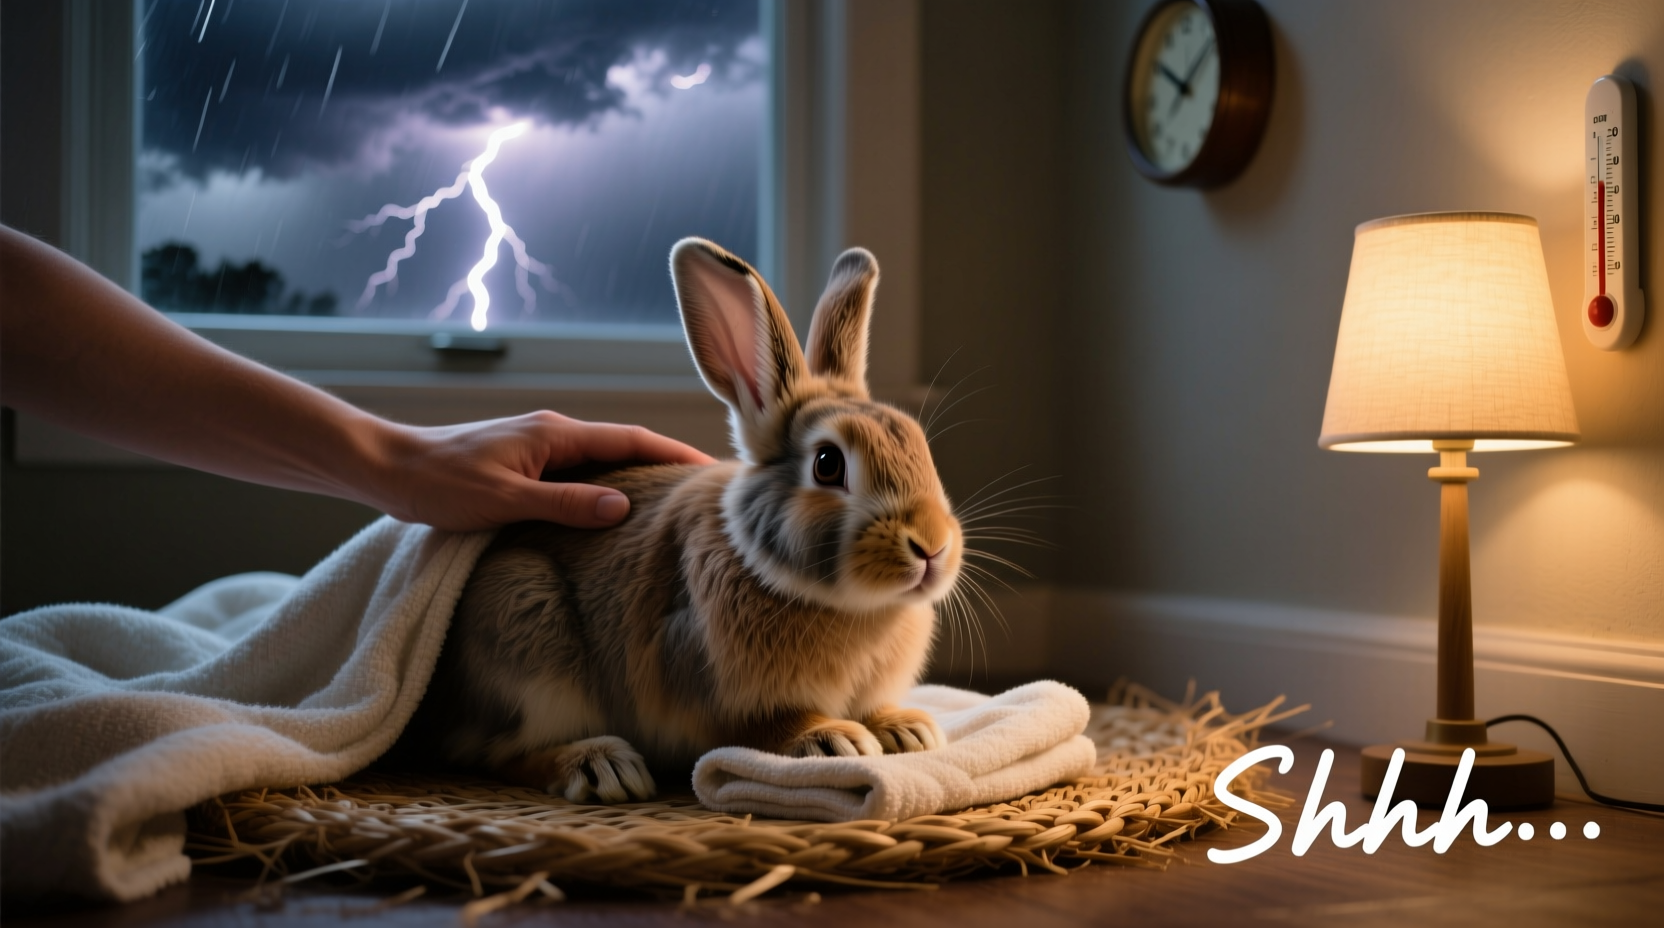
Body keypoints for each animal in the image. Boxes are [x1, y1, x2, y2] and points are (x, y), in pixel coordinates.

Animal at [397, 238, 963, 803]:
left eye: (919, 446)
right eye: (828, 464)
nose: (932, 547)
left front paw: (908, 729)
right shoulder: (713, 690)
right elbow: (764, 727)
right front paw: (833, 739)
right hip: (524, 627)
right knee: (497, 754)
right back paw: (603, 768)